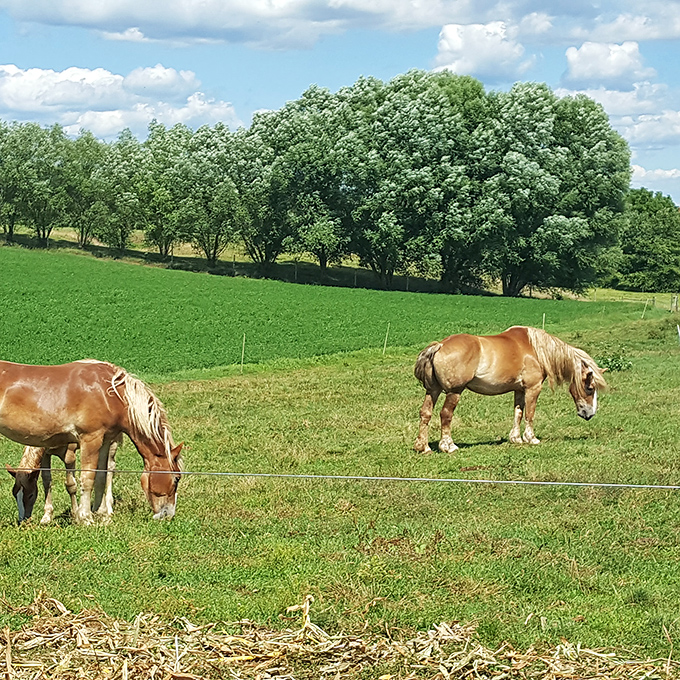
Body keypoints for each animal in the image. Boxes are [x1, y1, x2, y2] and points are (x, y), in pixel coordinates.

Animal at [0, 359, 183, 523]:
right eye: (176, 479)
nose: (168, 515)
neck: (109, 393)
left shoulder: (105, 440)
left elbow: (100, 476)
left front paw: (100, 513)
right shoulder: (90, 439)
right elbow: (87, 478)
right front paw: (85, 517)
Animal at [413, 326, 607, 453]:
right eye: (590, 388)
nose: (589, 414)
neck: (536, 350)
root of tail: (439, 345)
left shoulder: (519, 390)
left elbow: (518, 413)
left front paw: (516, 438)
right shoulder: (533, 389)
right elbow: (529, 414)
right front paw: (531, 438)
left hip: (433, 391)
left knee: (425, 413)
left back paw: (423, 447)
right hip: (454, 392)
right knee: (445, 415)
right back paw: (449, 446)